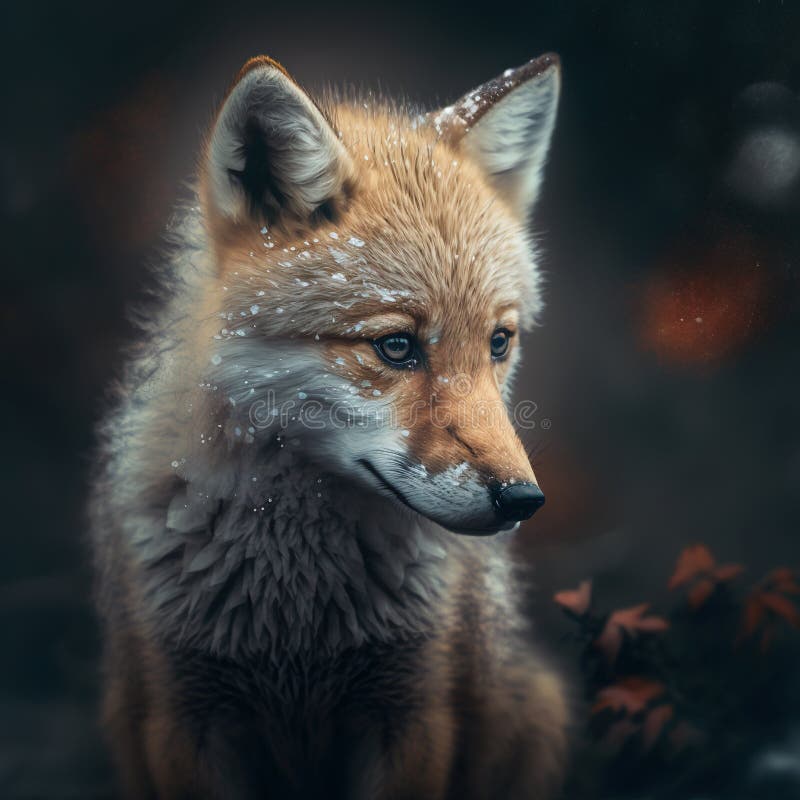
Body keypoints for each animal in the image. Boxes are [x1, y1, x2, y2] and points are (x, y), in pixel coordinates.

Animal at [90, 52, 568, 799]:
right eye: (396, 346)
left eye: (499, 342)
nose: (522, 500)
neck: (296, 606)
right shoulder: (185, 714)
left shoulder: (413, 708)